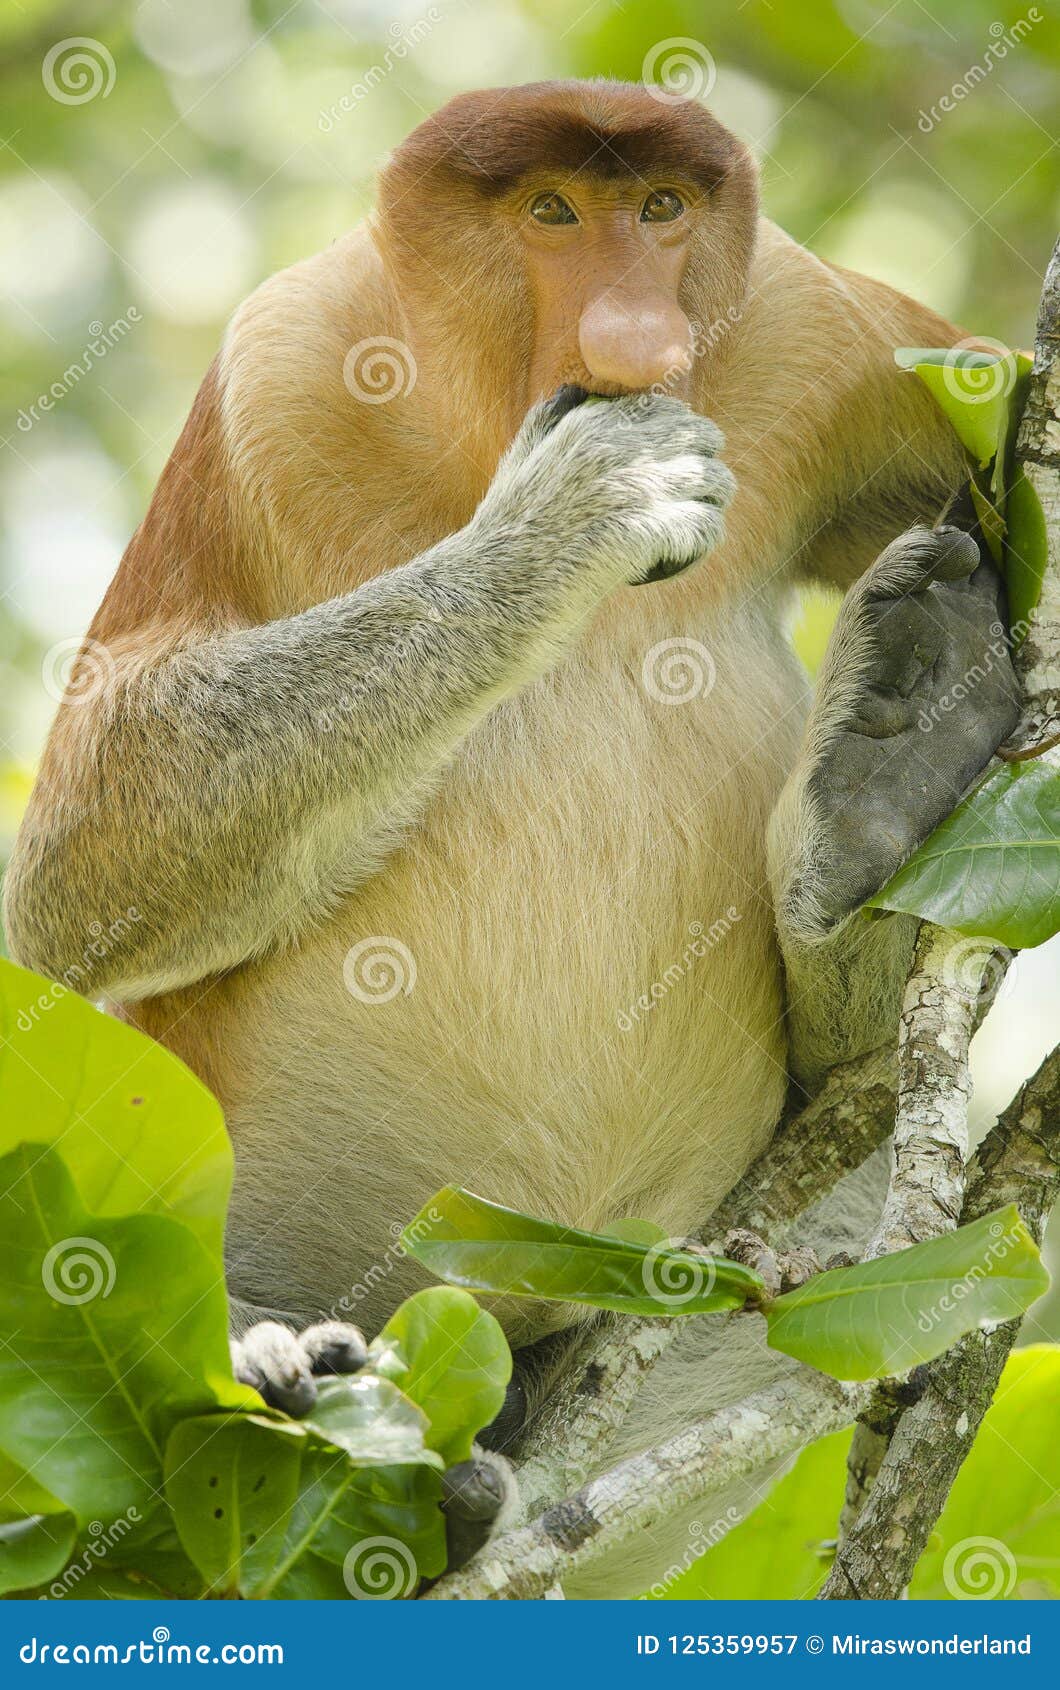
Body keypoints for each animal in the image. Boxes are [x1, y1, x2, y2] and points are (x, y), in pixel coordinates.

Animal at [4, 81, 1019, 1592]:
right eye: (549, 212)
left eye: (660, 210)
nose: (639, 341)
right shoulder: (276, 375)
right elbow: (85, 839)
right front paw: (579, 508)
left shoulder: (819, 325)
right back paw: (294, 1371)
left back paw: (886, 779)